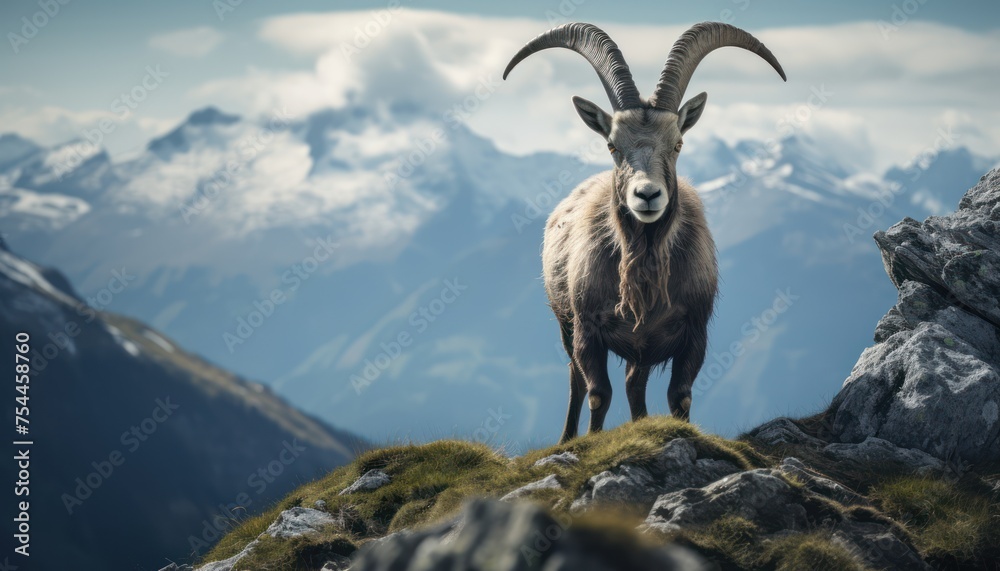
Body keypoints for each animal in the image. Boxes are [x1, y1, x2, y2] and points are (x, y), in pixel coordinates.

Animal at [503, 22, 786, 443]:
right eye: (611, 145)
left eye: (678, 143)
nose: (647, 194)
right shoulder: (588, 328)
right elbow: (597, 394)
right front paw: (591, 443)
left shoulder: (694, 333)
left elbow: (680, 395)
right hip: (566, 324)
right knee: (576, 379)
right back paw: (567, 438)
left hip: (641, 347)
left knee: (634, 384)